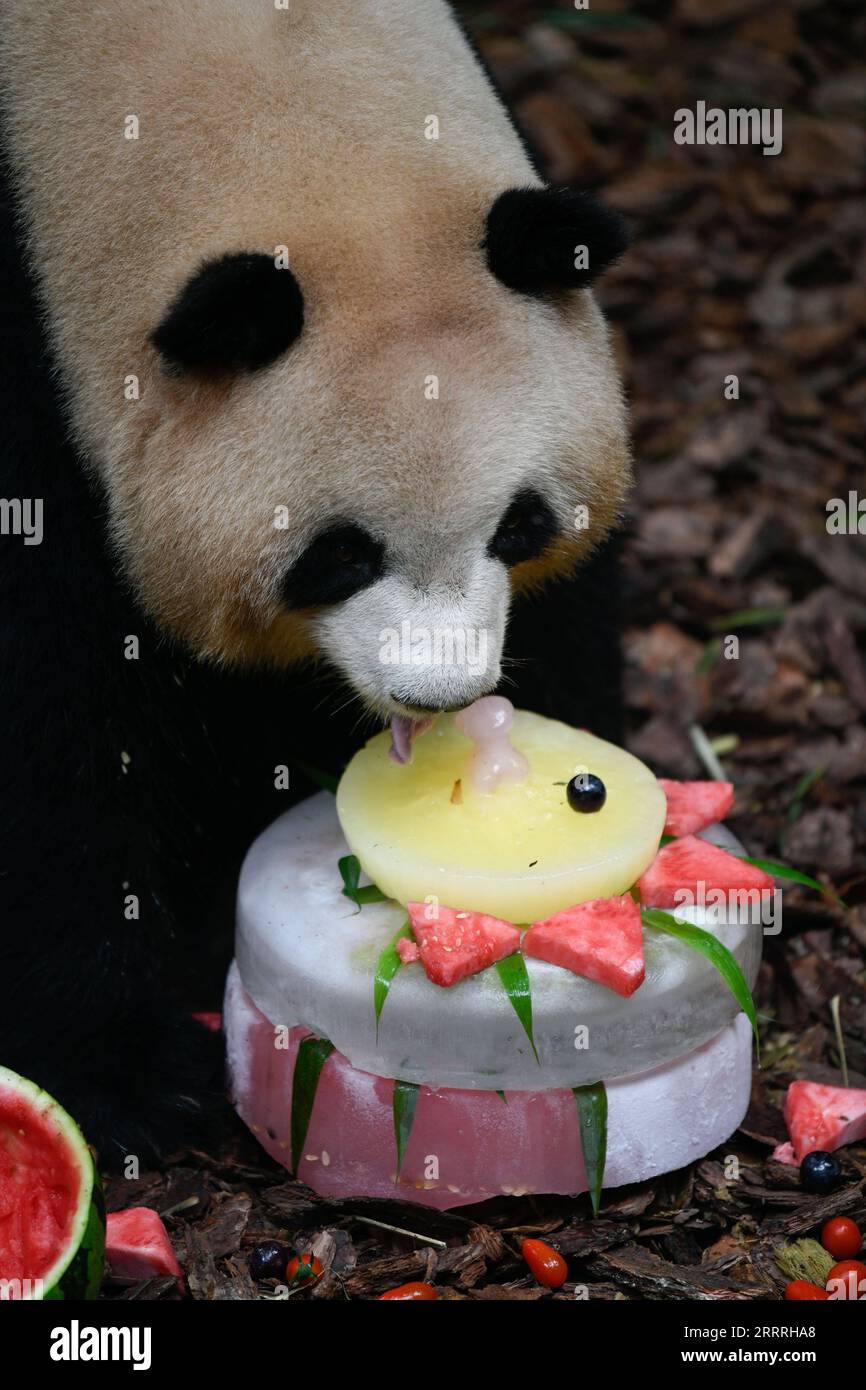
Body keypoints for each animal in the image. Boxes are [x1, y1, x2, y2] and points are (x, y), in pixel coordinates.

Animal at [0, 0, 630, 1164]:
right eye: (340, 554)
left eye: (518, 523)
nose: (441, 696)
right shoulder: (33, 388)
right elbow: (51, 740)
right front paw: (136, 1077)